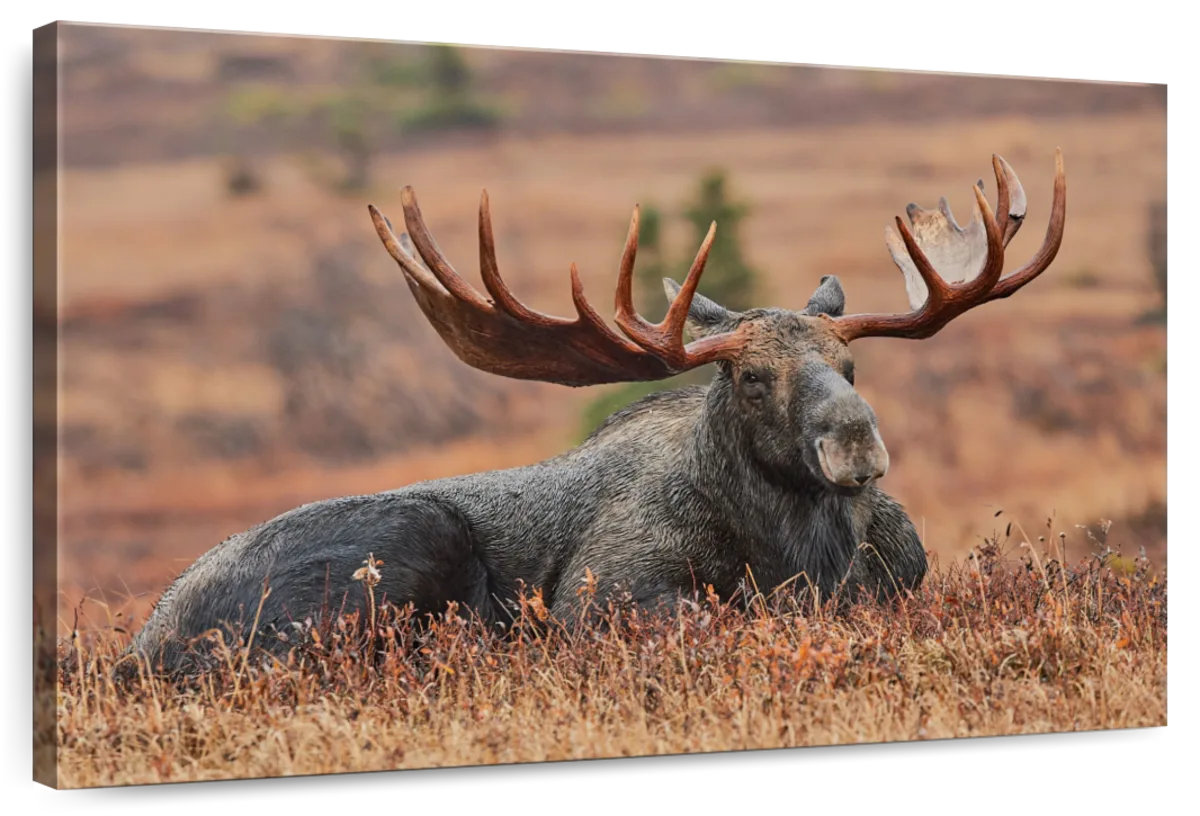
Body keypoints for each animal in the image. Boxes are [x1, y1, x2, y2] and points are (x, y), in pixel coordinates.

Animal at [130, 150, 1065, 673]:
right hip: (408, 535)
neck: (802, 552)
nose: (856, 444)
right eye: (750, 379)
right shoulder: (607, 594)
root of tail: (140, 648)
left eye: (850, 364)